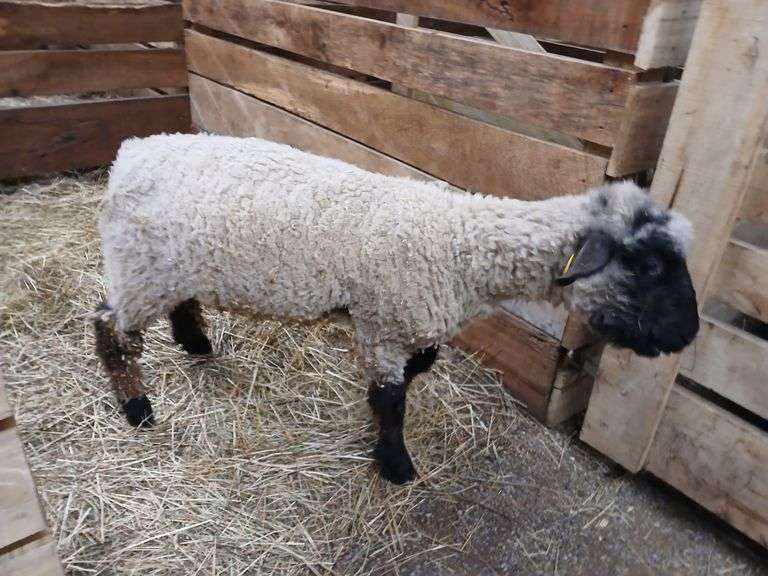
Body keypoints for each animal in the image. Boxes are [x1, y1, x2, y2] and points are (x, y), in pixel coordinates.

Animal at [94, 133, 700, 484]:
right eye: (650, 265)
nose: (688, 334)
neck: (458, 246)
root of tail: (132, 149)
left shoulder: (411, 324)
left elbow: (420, 367)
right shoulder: (384, 323)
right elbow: (391, 400)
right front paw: (395, 464)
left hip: (175, 265)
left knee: (179, 304)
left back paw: (195, 344)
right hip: (137, 269)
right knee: (109, 329)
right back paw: (137, 408)